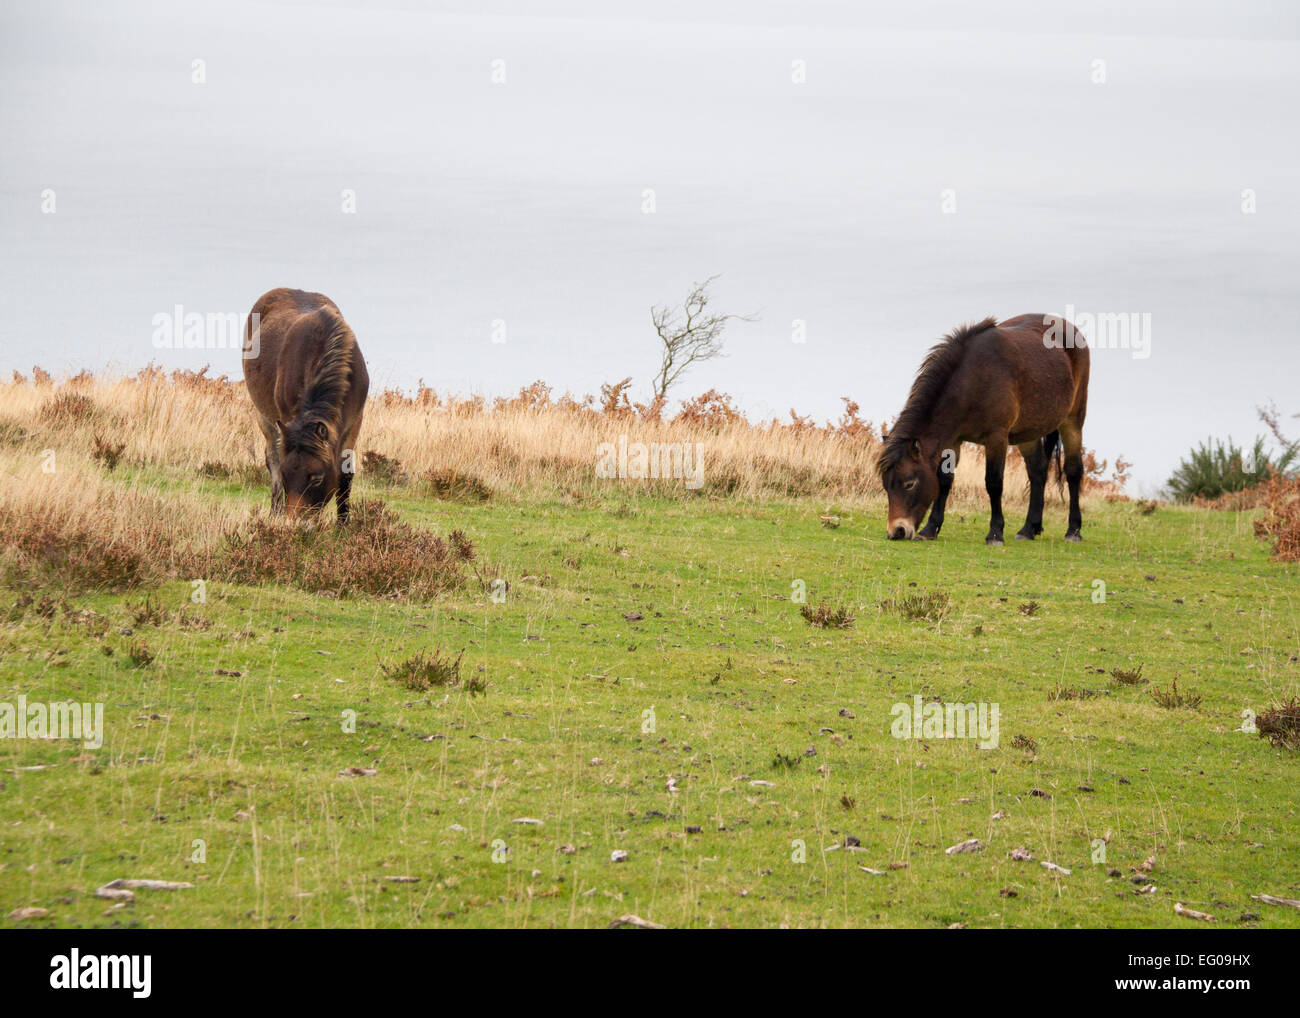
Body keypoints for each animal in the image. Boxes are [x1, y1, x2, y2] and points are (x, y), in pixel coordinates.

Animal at [241, 288, 370, 523]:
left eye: (316, 478)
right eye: (287, 475)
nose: (297, 524)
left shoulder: (355, 421)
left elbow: (345, 474)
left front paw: (343, 524)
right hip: (264, 418)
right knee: (272, 457)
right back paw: (275, 510)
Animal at [877, 314, 1090, 545]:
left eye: (909, 483)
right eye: (886, 485)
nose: (897, 531)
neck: (972, 380)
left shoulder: (996, 438)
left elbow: (993, 483)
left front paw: (995, 533)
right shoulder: (953, 441)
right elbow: (944, 481)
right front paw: (930, 528)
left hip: (1072, 421)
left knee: (1073, 472)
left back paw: (1073, 530)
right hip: (1028, 433)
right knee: (1038, 472)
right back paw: (1028, 529)